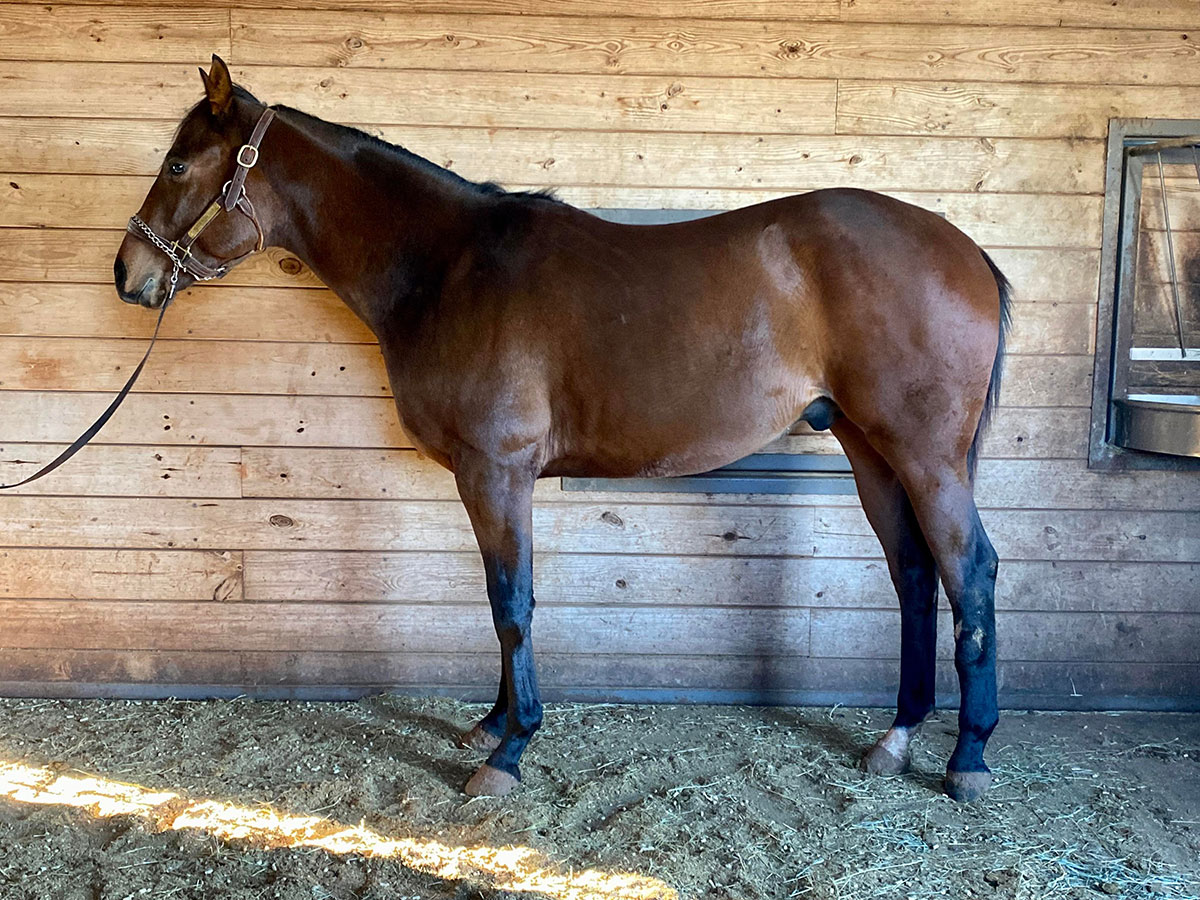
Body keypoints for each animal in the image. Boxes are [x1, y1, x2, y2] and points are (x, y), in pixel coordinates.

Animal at [114, 56, 1011, 803]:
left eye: (178, 163)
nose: (130, 273)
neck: (449, 268)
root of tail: (965, 249)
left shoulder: (495, 469)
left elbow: (511, 601)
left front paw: (509, 752)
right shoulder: (493, 478)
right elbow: (505, 596)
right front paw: (492, 722)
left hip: (926, 456)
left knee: (970, 571)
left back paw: (968, 757)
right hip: (871, 450)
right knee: (914, 574)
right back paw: (896, 738)